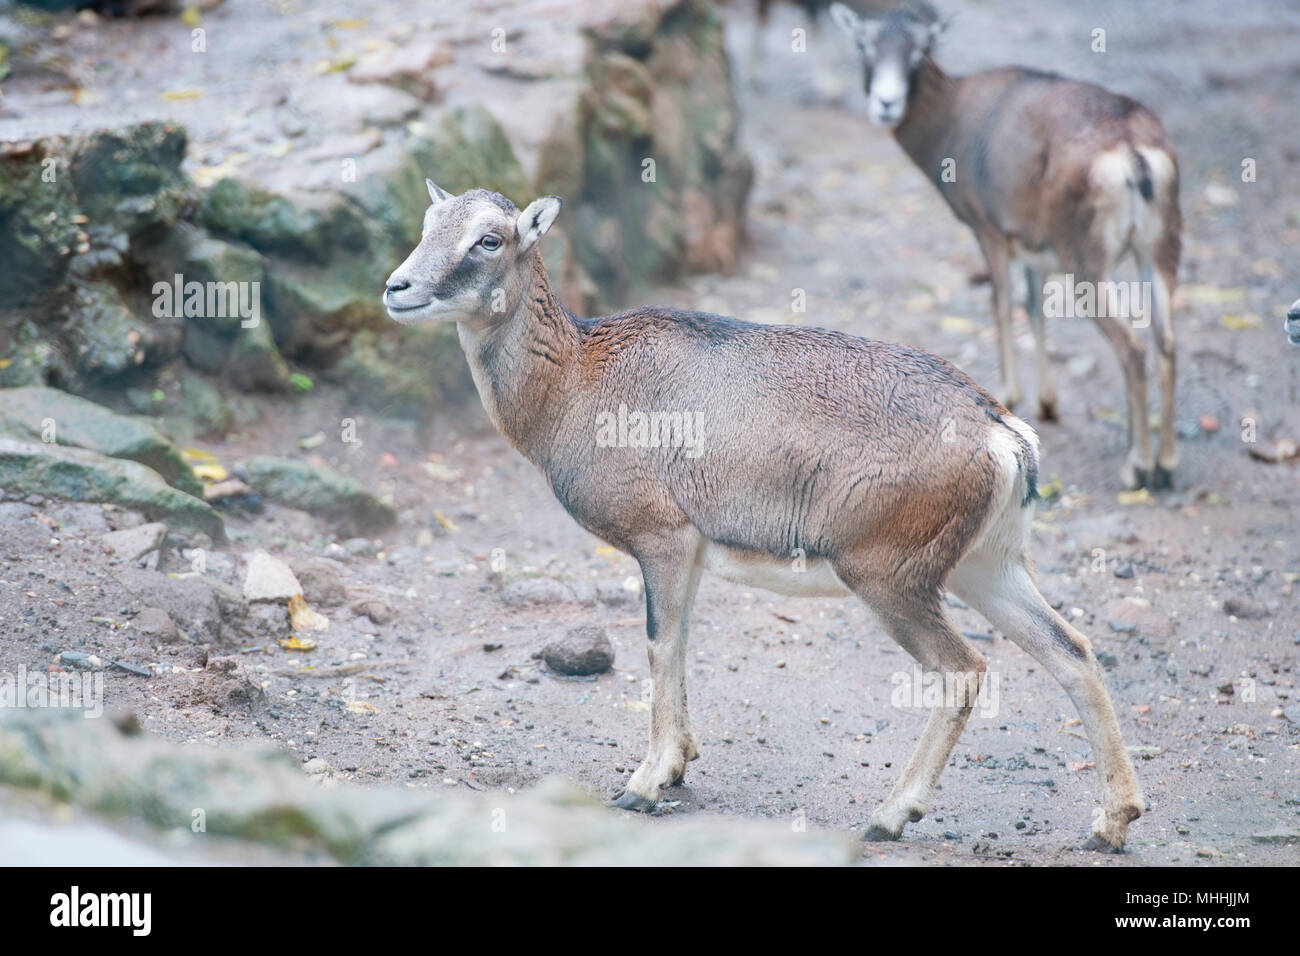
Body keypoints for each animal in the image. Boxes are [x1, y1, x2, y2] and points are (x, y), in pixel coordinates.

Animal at [382, 181, 1146, 851]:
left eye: (489, 238)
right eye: (428, 225)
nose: (398, 288)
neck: (575, 384)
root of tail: (1001, 434)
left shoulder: (661, 539)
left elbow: (659, 644)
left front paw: (643, 783)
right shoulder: (690, 553)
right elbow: (681, 642)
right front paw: (678, 764)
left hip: (890, 579)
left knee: (963, 669)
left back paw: (890, 815)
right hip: (985, 568)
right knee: (1072, 650)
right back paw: (1111, 822)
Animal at [830, 2, 1183, 491]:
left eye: (920, 49)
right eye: (864, 43)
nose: (886, 104)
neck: (951, 117)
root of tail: (1131, 152)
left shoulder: (990, 233)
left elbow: (999, 303)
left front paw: (1012, 393)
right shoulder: (1035, 252)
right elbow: (1033, 308)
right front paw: (1048, 403)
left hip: (1088, 266)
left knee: (1132, 348)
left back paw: (1138, 467)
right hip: (1161, 250)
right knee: (1167, 342)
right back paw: (1166, 464)